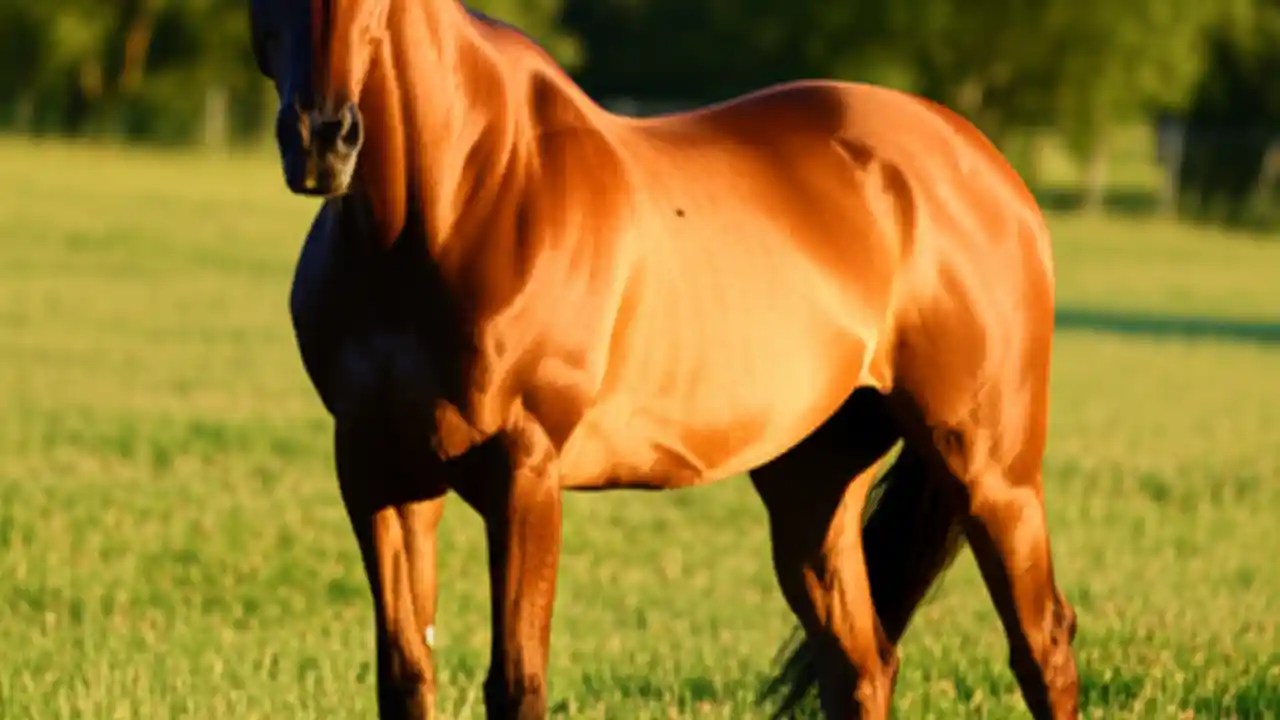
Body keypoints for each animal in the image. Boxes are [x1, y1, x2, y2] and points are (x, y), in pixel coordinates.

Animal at [247, 1, 1080, 718]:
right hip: (814, 486)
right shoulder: (380, 471)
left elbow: (516, 685)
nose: (322, 139)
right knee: (860, 665)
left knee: (1043, 646)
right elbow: (407, 677)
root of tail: (982, 164)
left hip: (989, 471)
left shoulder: (523, 472)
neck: (456, 201)